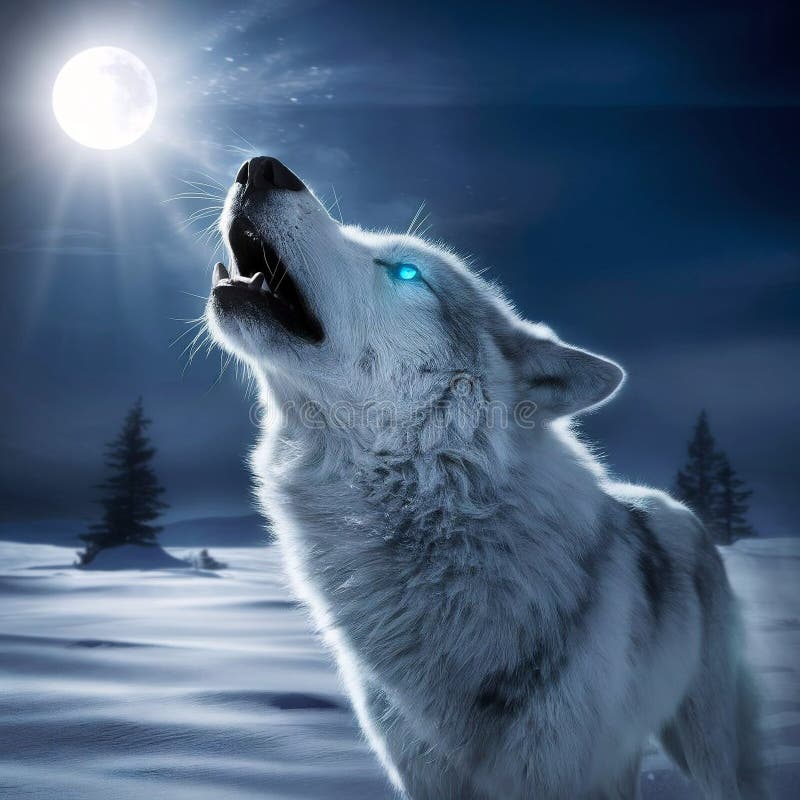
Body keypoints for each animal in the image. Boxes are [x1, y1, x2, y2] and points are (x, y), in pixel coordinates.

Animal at [205, 156, 768, 799]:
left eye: (404, 271)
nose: (261, 167)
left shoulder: (555, 771)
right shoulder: (425, 775)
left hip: (705, 747)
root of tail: (669, 503)